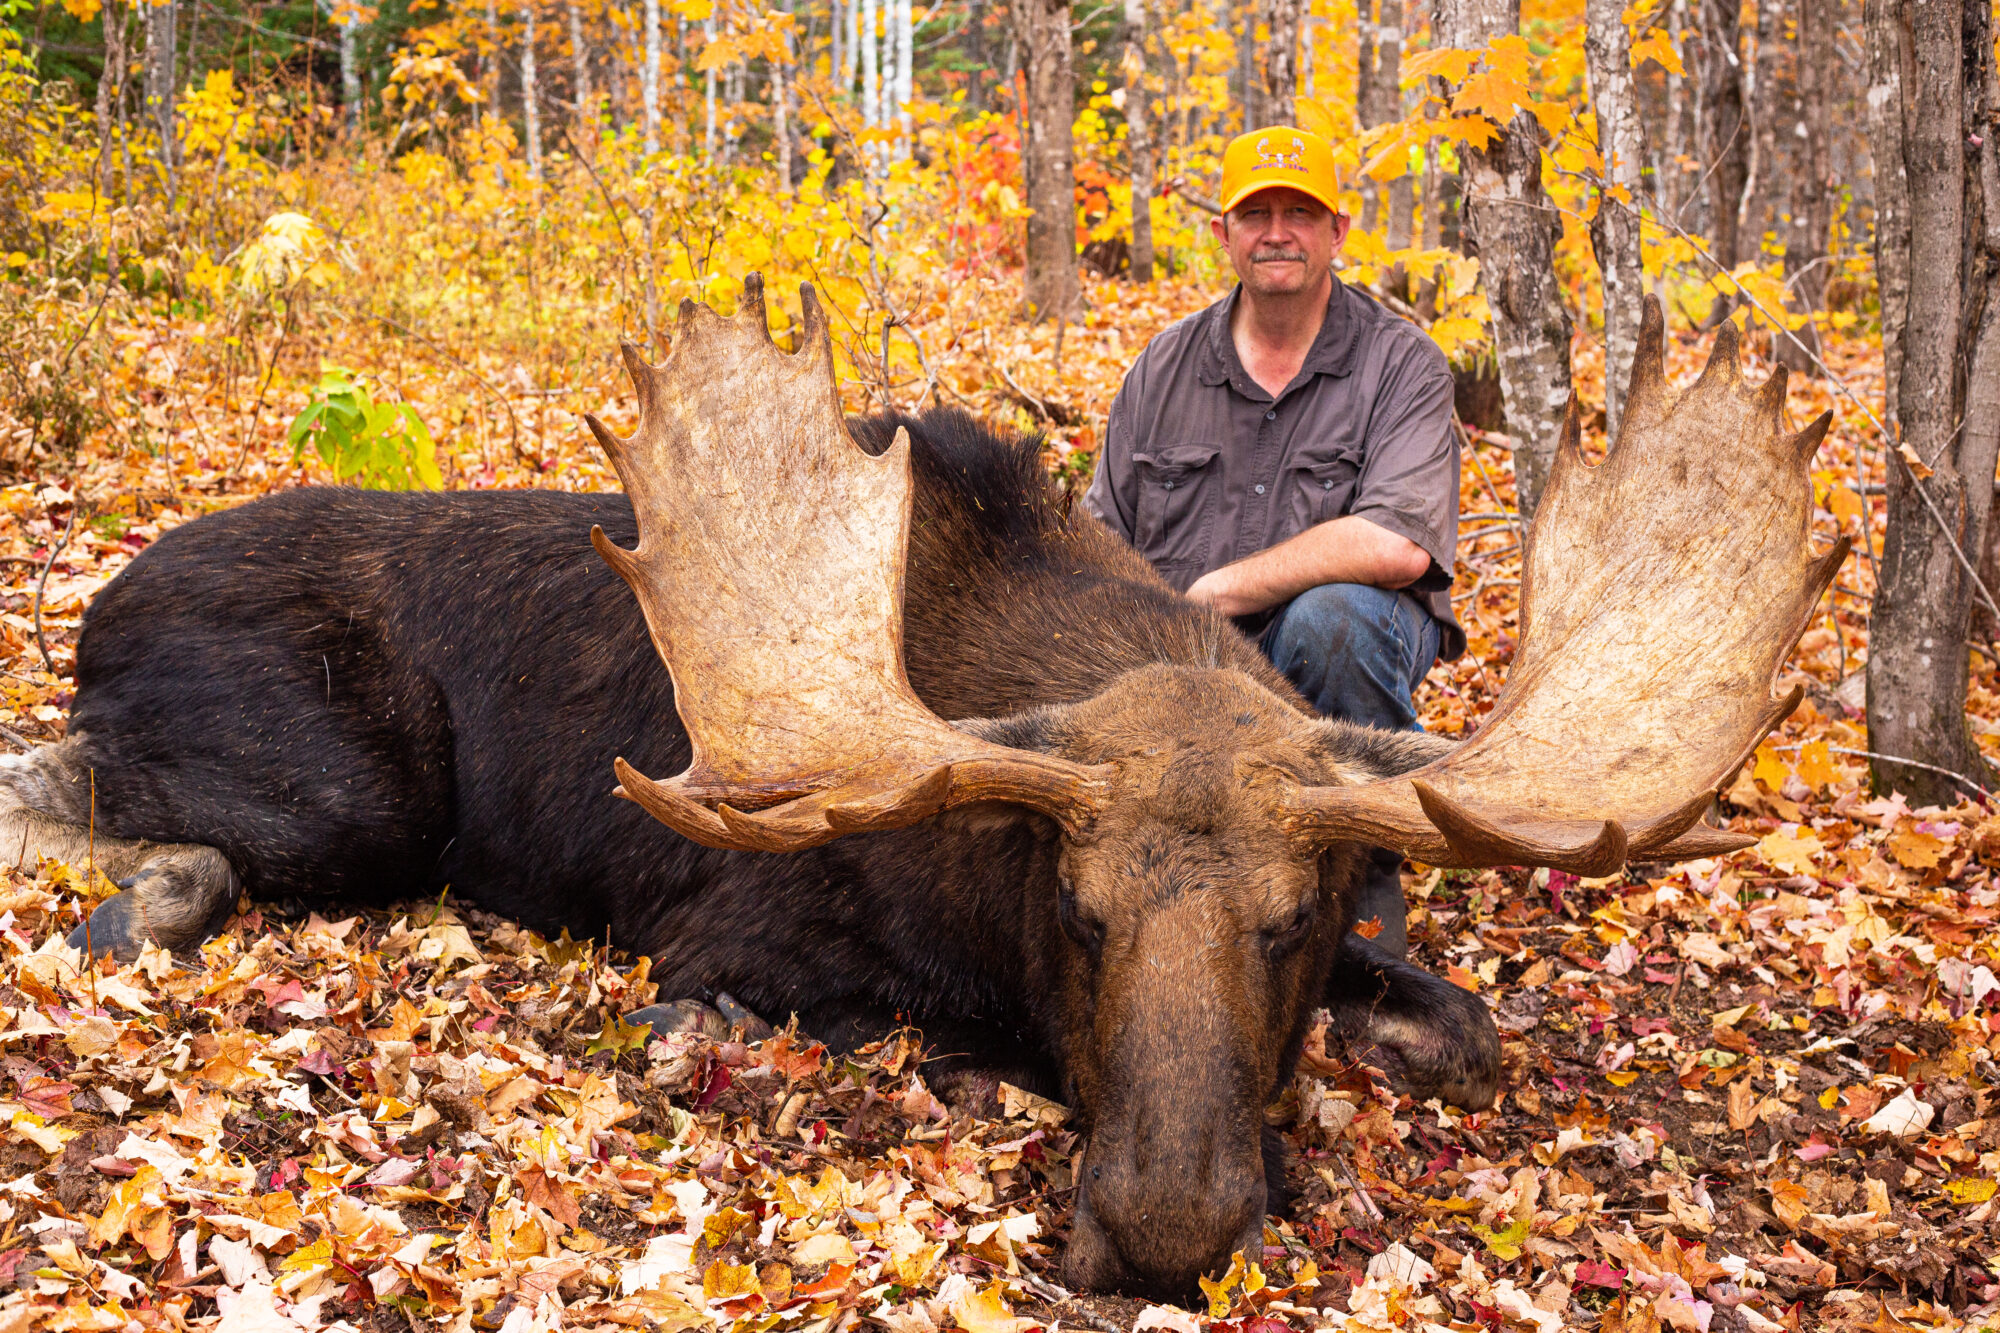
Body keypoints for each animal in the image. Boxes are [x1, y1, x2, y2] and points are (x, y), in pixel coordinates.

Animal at [0, 276, 1841, 1296]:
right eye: (1080, 911)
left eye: (1294, 921)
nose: (1166, 1229)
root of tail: (98, 604)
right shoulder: (733, 932)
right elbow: (835, 1027)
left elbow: (1464, 1024)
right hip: (344, 792)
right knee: (86, 787)